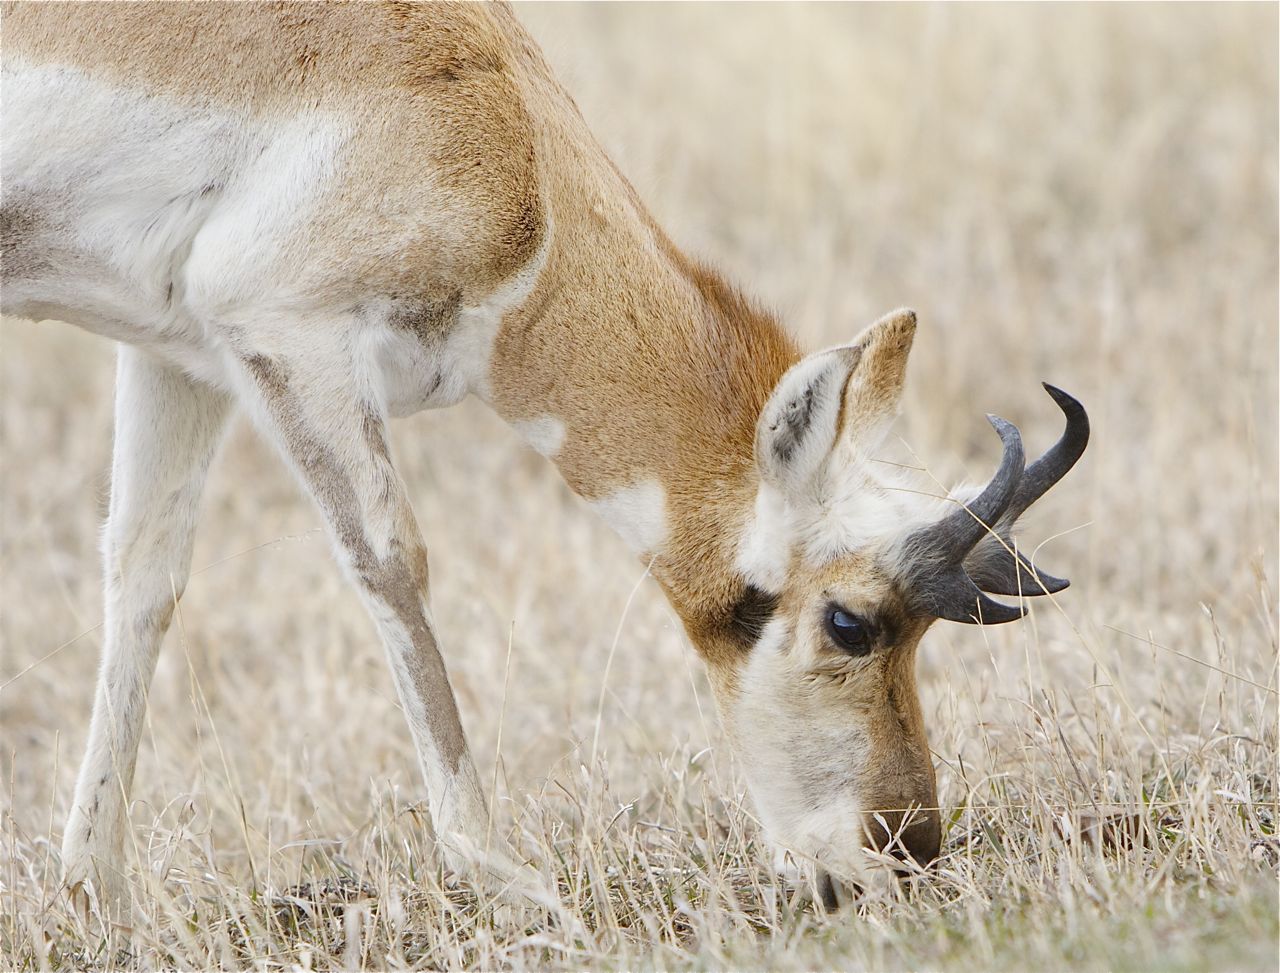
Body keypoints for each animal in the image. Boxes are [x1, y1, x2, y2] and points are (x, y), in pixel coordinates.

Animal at [1, 1, 1088, 912]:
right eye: (850, 621)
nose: (903, 847)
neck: (508, 135)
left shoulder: (180, 357)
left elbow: (144, 577)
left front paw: (97, 894)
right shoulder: (291, 341)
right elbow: (393, 567)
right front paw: (507, 876)